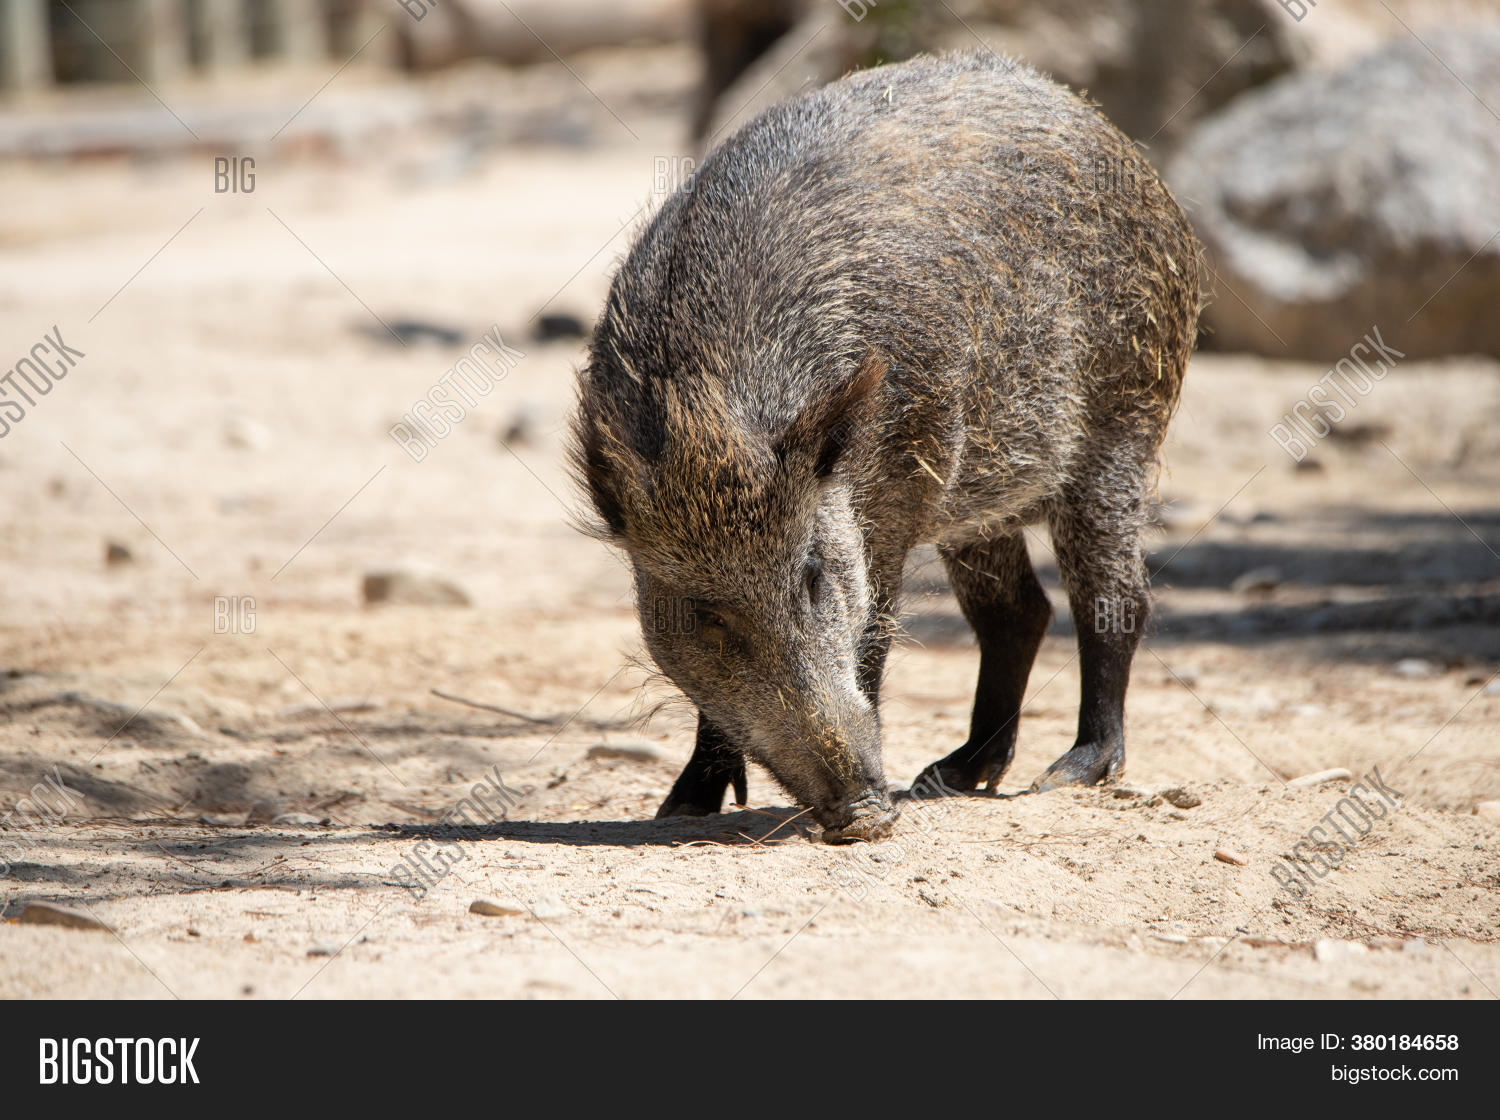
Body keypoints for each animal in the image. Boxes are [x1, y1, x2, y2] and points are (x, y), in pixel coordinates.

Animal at [570, 51, 1201, 841]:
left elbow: (872, 630)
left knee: (1117, 599)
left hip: (1122, 428)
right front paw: (680, 806)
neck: (712, 407)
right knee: (1019, 613)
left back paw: (1068, 773)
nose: (865, 812)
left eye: (812, 574)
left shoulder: (899, 492)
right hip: (981, 500)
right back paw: (950, 776)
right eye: (705, 613)